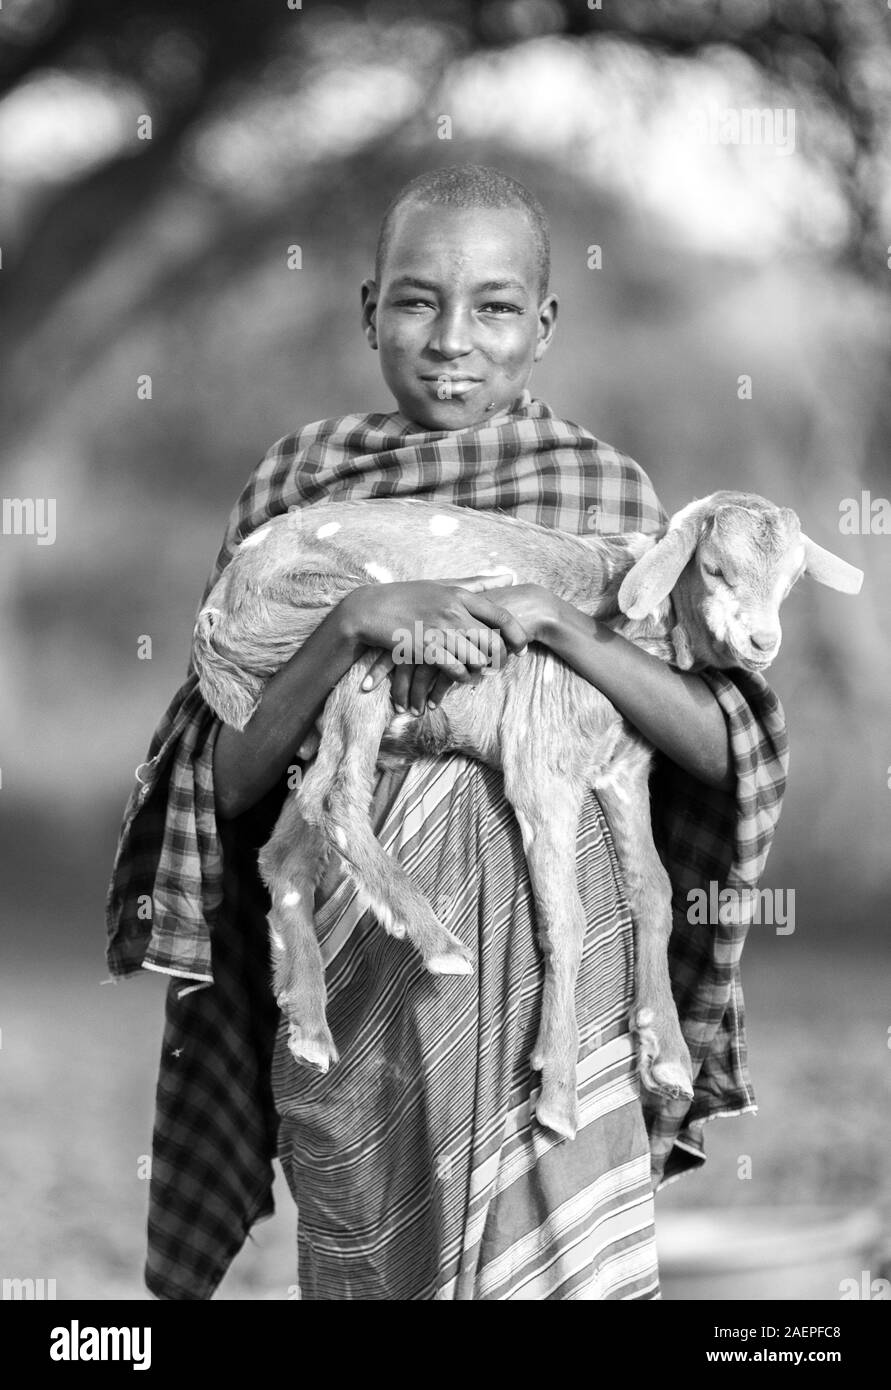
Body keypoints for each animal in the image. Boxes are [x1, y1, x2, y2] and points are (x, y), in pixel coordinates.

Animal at [194, 492, 861, 1139]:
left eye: (793, 579)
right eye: (716, 568)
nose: (762, 644)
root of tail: (218, 606)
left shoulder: (623, 768)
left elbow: (655, 890)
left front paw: (668, 1058)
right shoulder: (543, 760)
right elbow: (567, 918)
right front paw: (558, 1097)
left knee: (284, 851)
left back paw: (308, 1026)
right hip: (345, 631)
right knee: (330, 795)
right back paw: (438, 944)